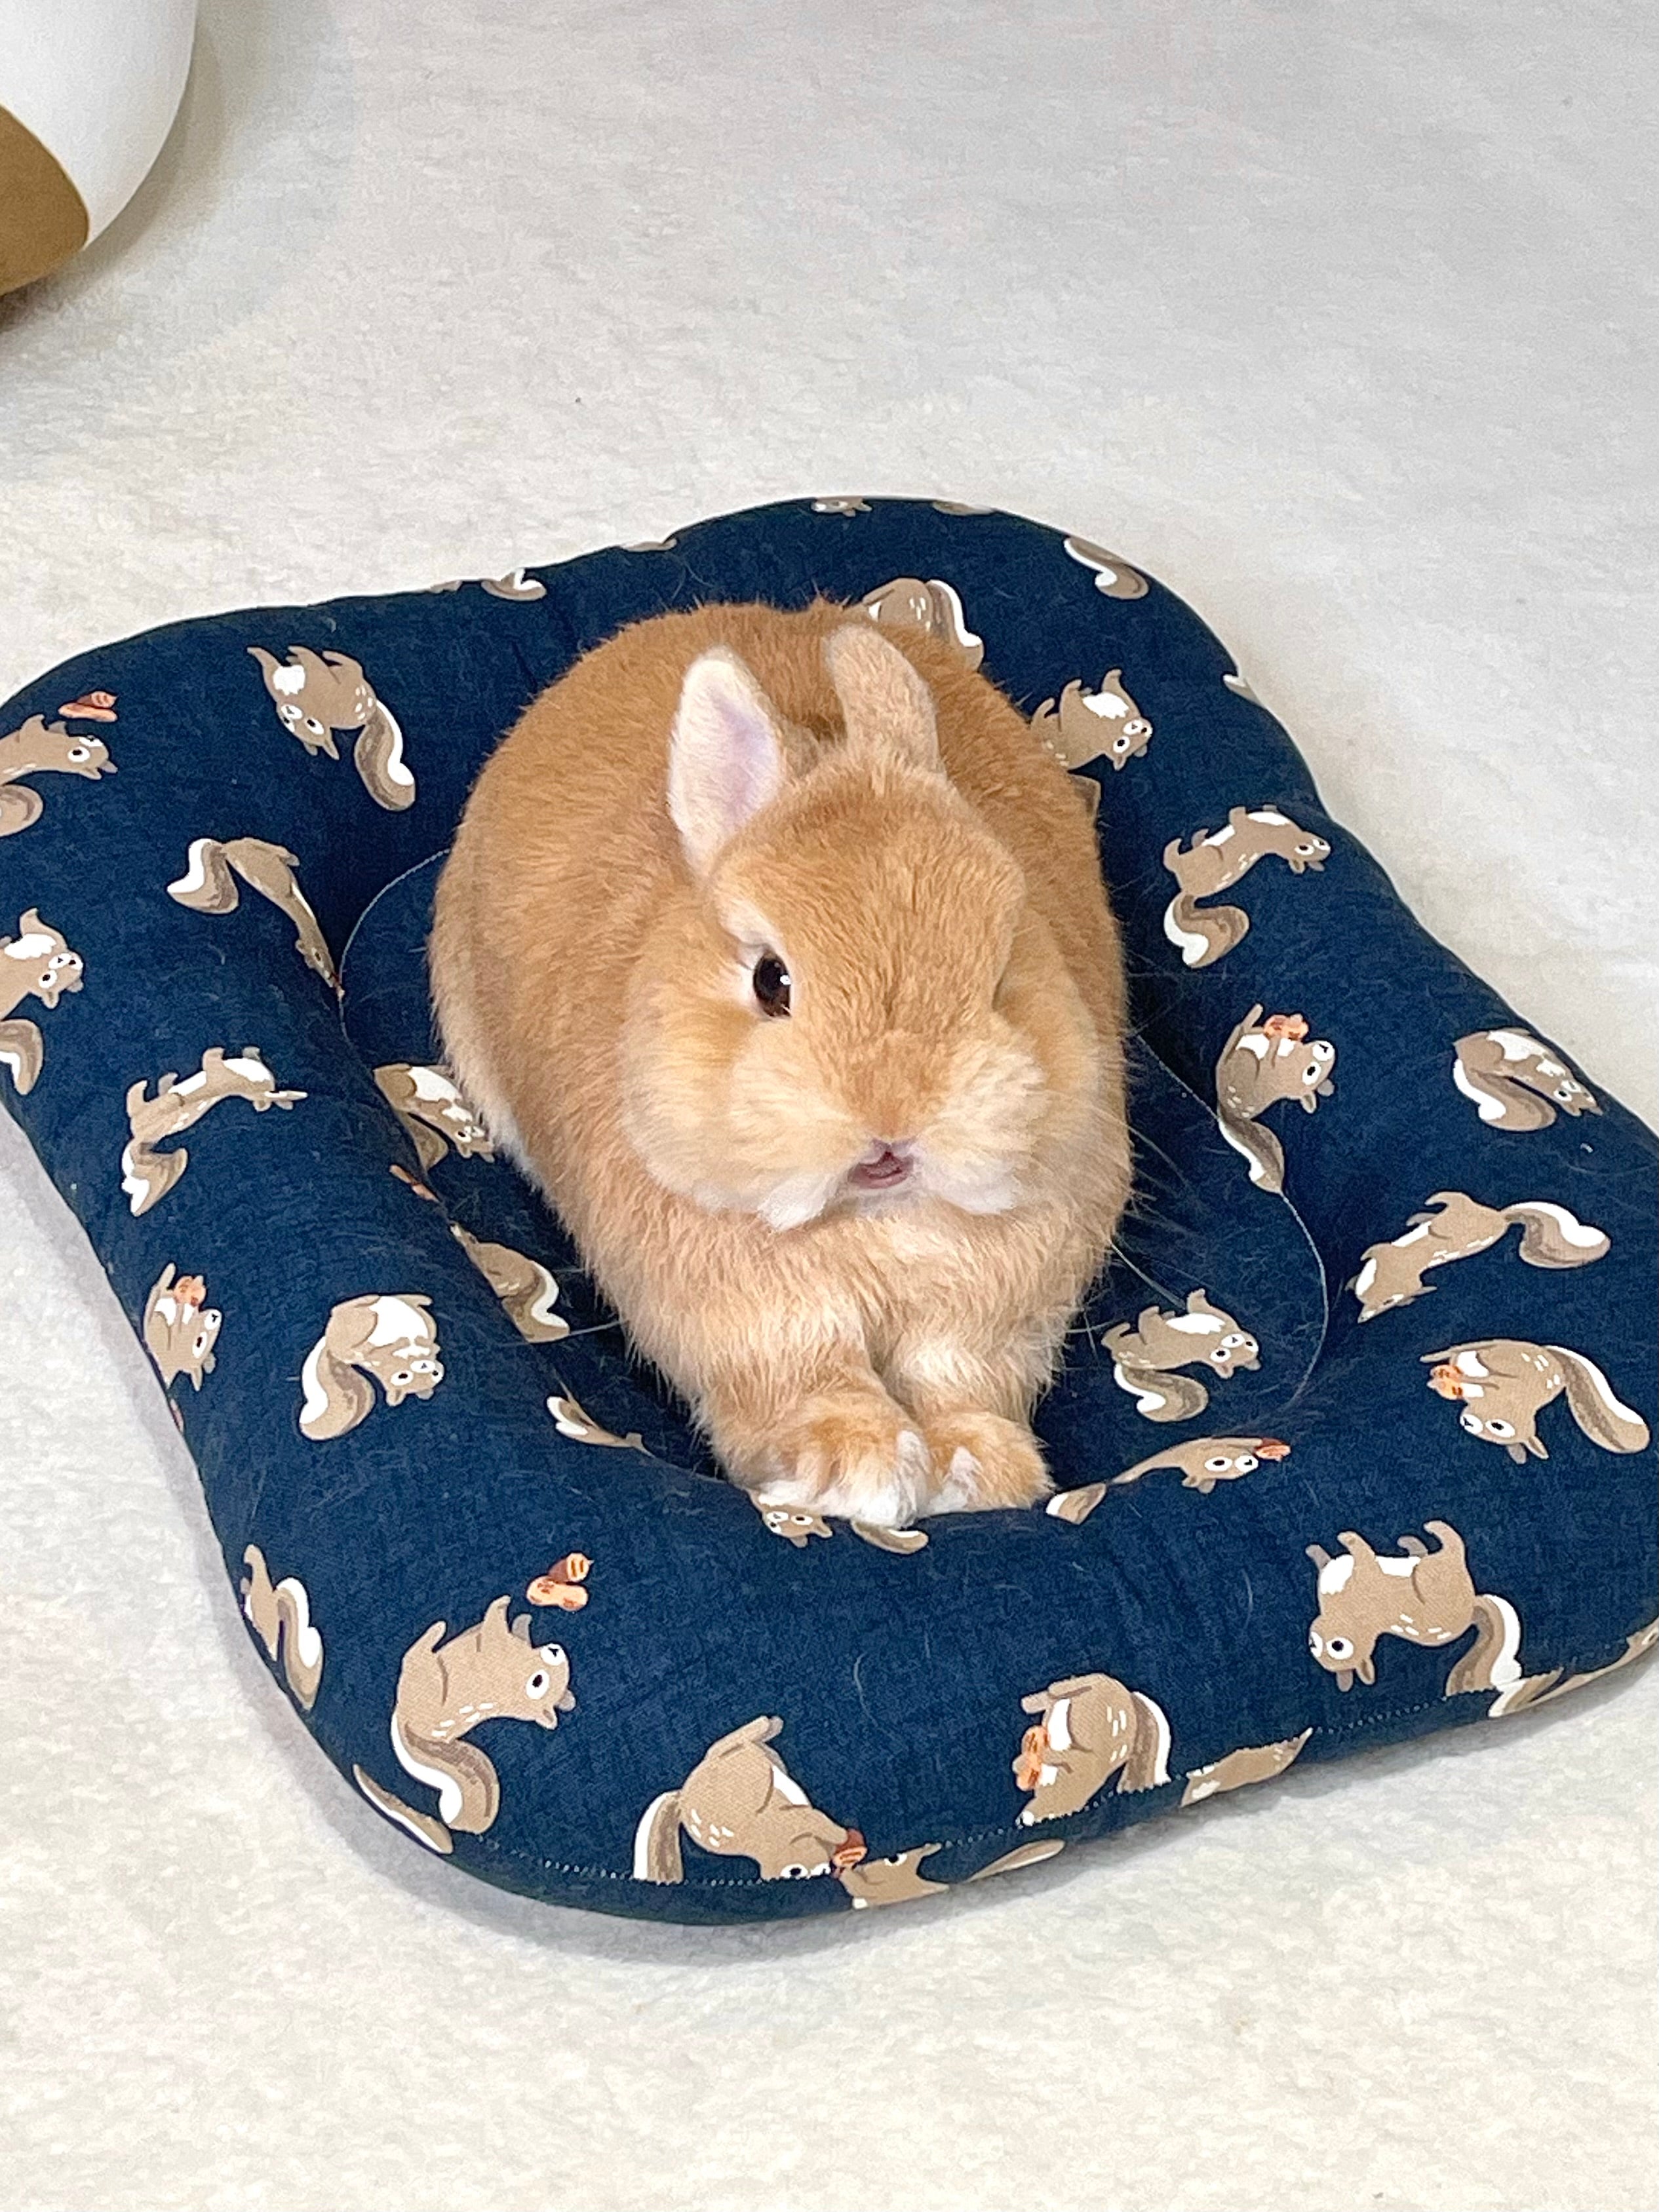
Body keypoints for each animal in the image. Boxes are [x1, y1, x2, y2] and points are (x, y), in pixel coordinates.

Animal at [431, 600, 1131, 1525]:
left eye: (1004, 968)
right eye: (771, 981)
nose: (893, 1122)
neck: (873, 1224)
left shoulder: (984, 1326)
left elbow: (958, 1381)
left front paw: (977, 1470)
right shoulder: (759, 1326)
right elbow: (808, 1381)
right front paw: (852, 1470)